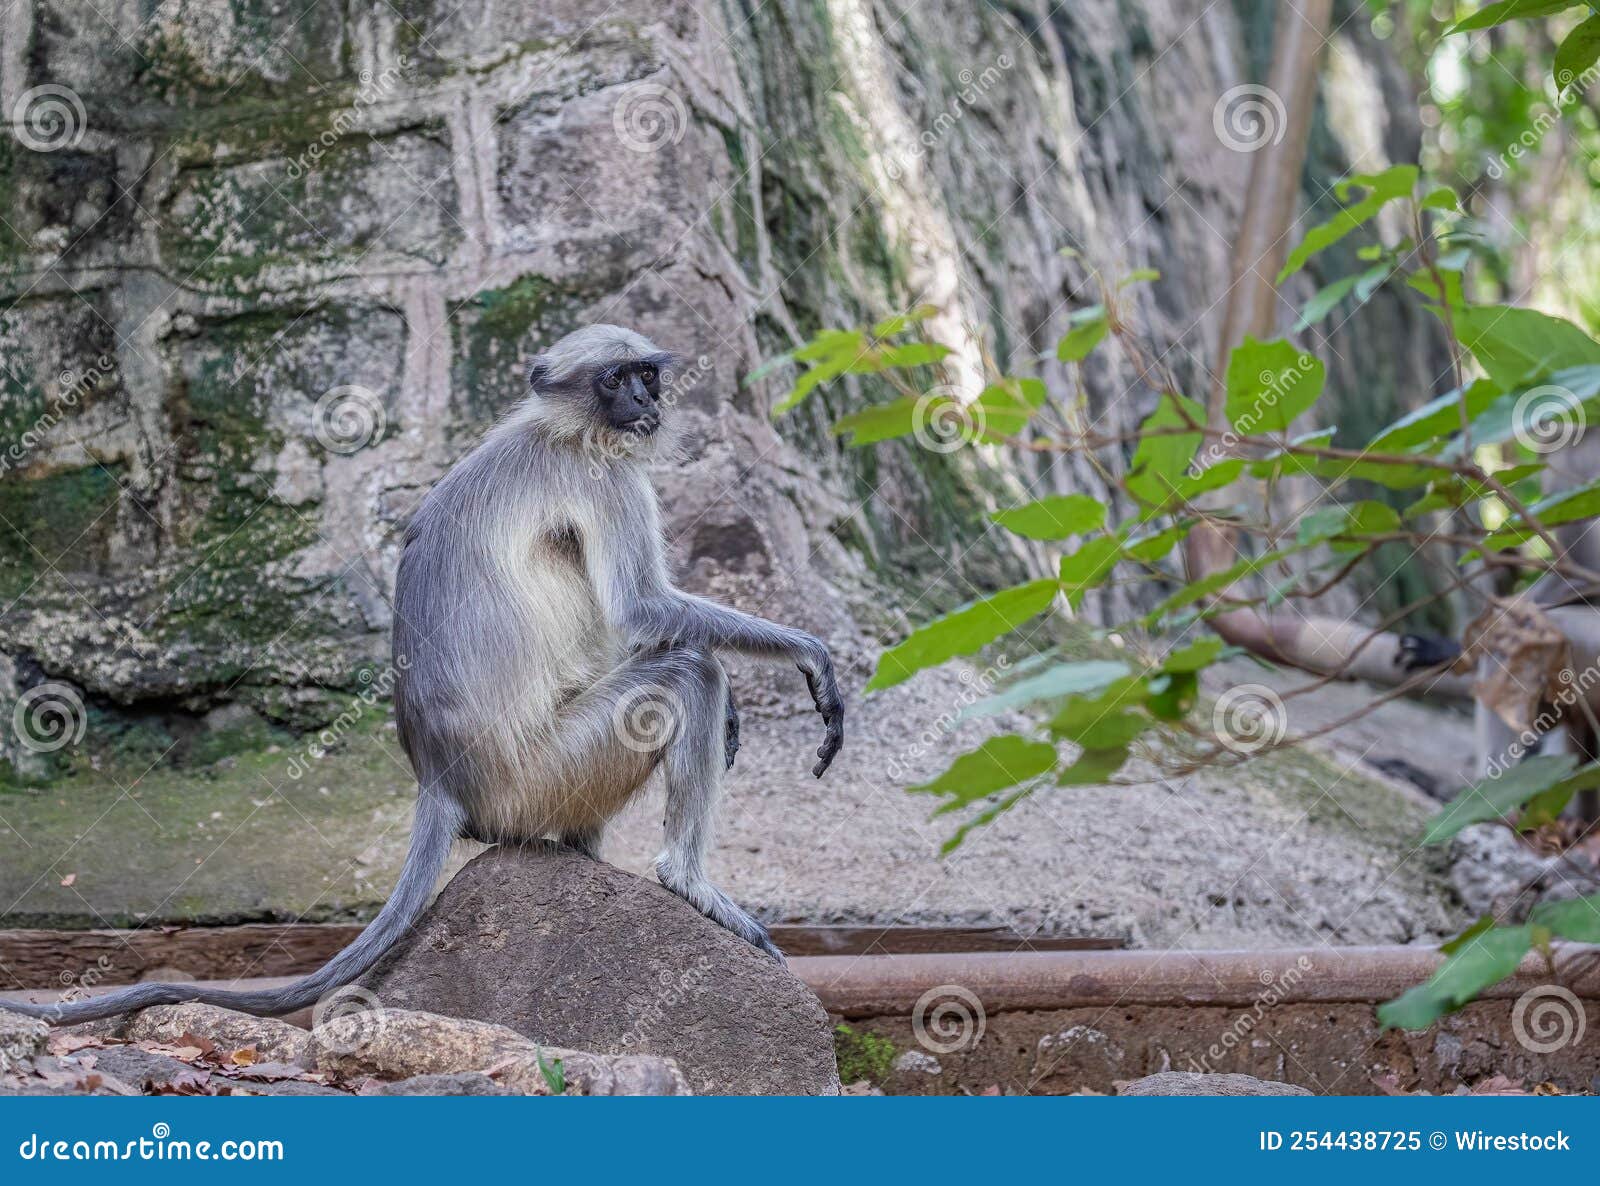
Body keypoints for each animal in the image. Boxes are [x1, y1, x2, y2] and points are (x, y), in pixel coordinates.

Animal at [10, 324, 844, 1024]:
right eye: (617, 380)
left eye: (645, 375)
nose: (646, 401)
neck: (553, 430)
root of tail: (442, 778)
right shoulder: (603, 477)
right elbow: (642, 609)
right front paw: (811, 654)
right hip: (539, 775)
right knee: (687, 673)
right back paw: (684, 878)